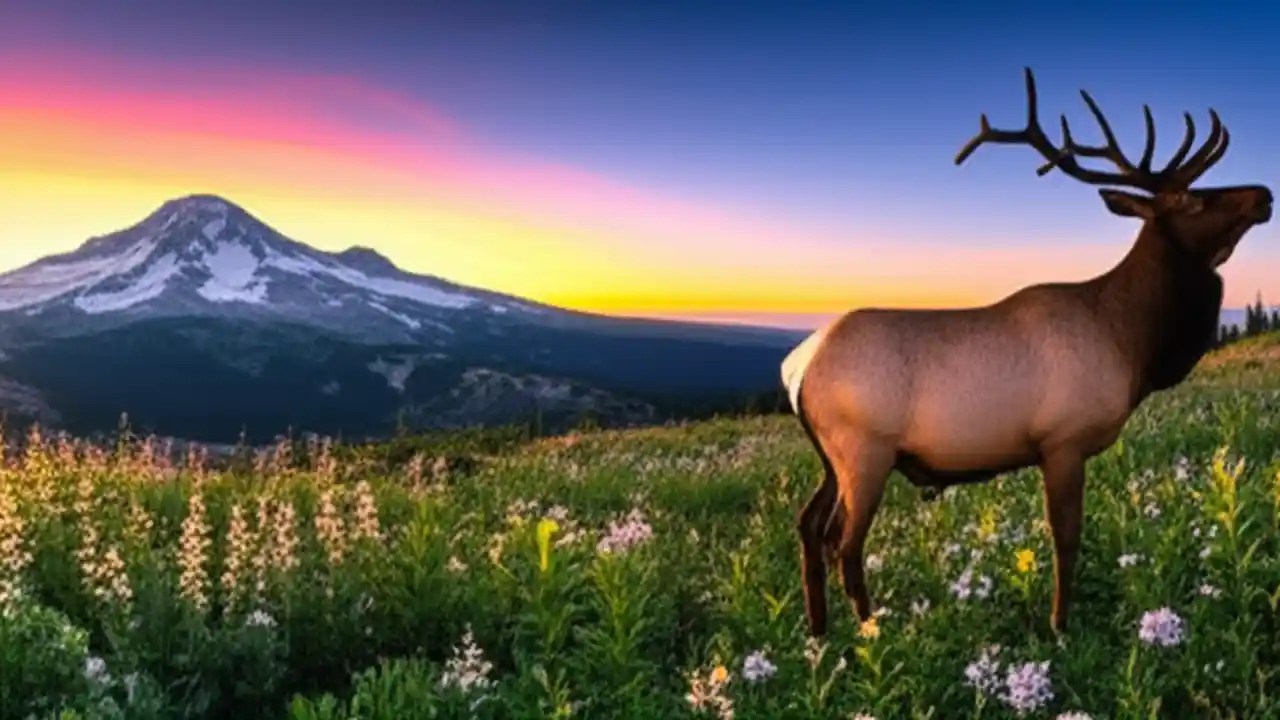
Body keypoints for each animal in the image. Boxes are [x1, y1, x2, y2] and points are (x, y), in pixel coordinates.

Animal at [782, 68, 1272, 637]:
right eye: (1192, 200)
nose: (1263, 194)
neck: (1131, 342)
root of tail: (797, 367)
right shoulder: (1062, 440)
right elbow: (1065, 538)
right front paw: (1060, 625)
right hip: (865, 451)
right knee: (844, 542)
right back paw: (872, 631)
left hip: (831, 458)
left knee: (808, 524)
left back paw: (818, 632)